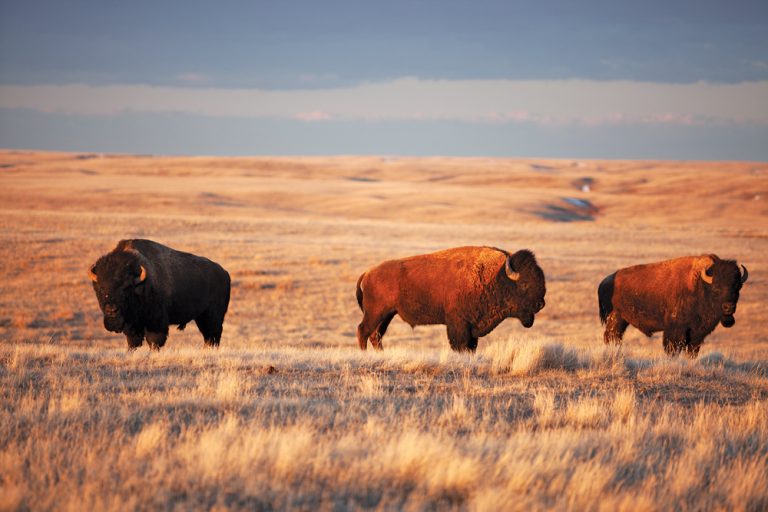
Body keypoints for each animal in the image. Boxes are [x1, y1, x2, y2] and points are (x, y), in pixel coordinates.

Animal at [88, 239, 231, 350]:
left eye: (126, 287)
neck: (140, 283)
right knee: (208, 336)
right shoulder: (133, 325)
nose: (111, 310)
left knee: (214, 334)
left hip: (212, 315)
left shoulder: (156, 321)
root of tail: (224, 273)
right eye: (101, 288)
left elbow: (154, 340)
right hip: (201, 317)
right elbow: (133, 341)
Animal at [355, 246, 546, 352]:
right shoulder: (458, 324)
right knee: (363, 330)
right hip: (376, 313)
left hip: (387, 315)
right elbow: (459, 345)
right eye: (525, 284)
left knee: (376, 335)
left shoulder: (472, 327)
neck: (496, 277)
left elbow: (471, 347)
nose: (541, 304)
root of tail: (368, 272)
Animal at [598, 254, 748, 357]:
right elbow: (673, 348)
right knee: (611, 336)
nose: (729, 307)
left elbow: (692, 350)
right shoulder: (676, 330)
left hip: (621, 321)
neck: (701, 285)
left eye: (737, 288)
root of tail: (604, 282)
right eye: (716, 289)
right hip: (615, 319)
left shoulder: (697, 334)